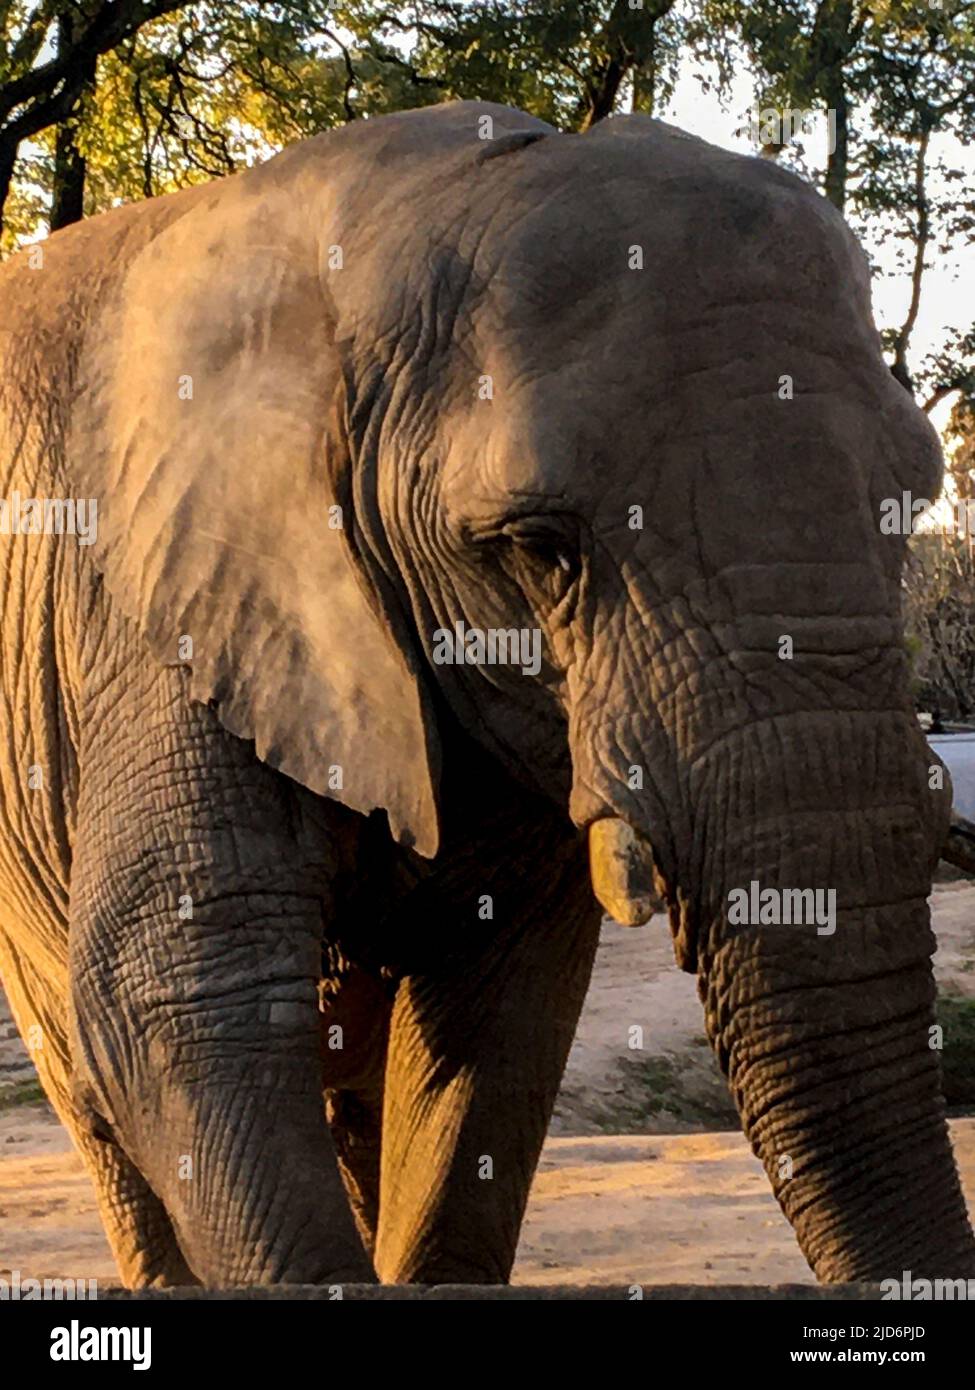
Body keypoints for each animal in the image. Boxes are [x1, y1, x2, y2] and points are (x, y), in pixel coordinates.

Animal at [0, 98, 972, 1290]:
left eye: (915, 501)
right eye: (540, 548)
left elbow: (498, 1014)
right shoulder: (165, 609)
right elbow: (180, 990)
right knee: (94, 1086)